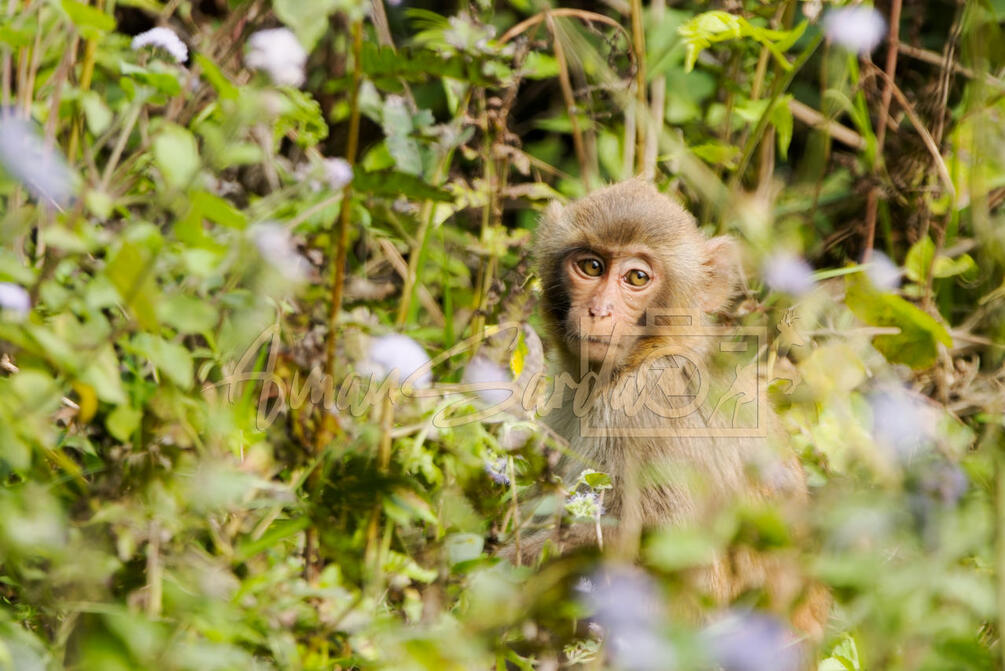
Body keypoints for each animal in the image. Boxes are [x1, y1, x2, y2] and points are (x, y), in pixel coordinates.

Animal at [504, 178, 828, 640]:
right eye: (591, 267)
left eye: (637, 277)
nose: (598, 311)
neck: (652, 351)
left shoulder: (649, 405)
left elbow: (666, 553)